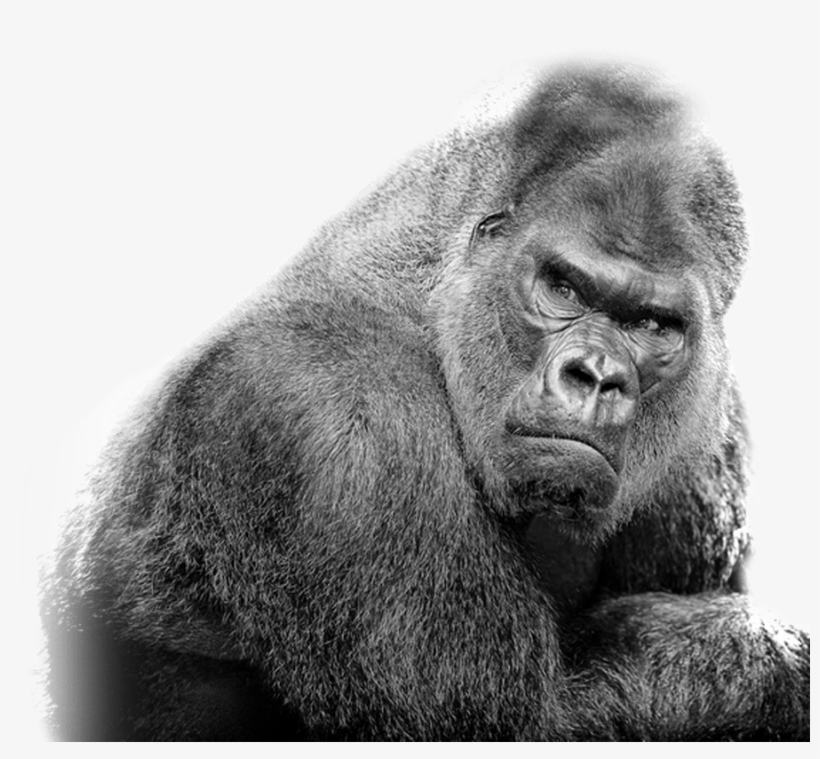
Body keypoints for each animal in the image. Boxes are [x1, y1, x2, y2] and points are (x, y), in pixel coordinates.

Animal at [40, 64, 809, 741]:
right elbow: (527, 722)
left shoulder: (710, 424)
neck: (433, 285)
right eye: (561, 288)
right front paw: (773, 658)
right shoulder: (336, 412)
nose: (594, 376)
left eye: (653, 325)